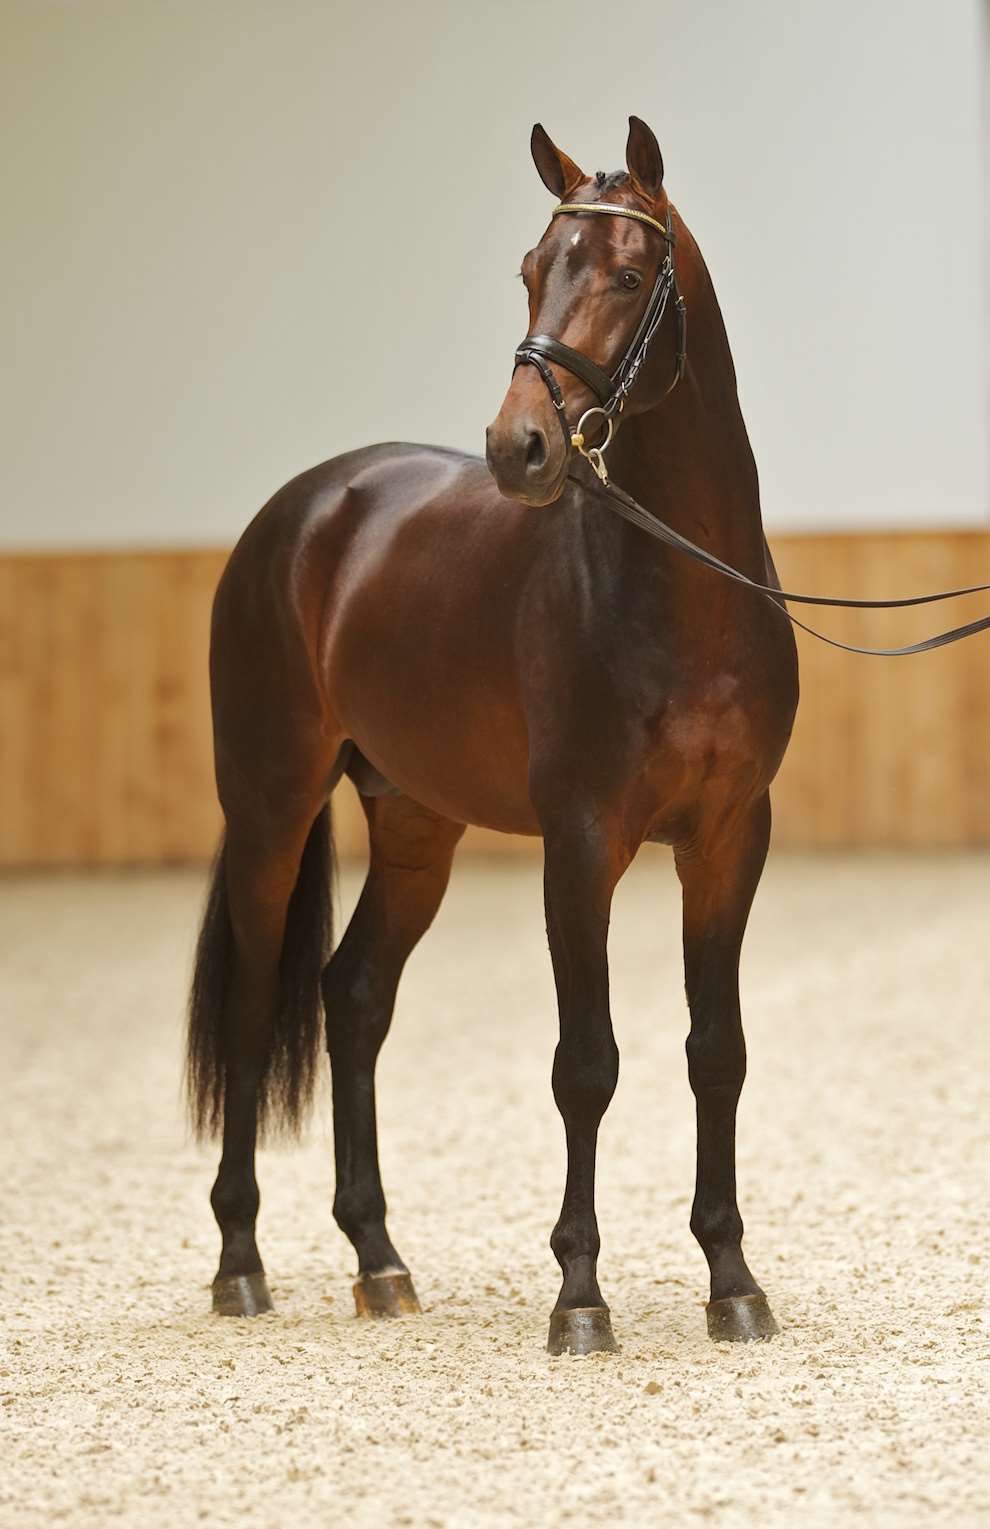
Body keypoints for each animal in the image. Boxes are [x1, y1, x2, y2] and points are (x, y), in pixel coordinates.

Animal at [186, 115, 799, 1356]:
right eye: (531, 269)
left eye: (627, 274)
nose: (520, 446)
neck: (686, 591)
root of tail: (308, 508)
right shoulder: (583, 842)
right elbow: (587, 1063)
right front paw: (580, 1294)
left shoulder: (729, 839)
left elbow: (717, 1051)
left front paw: (732, 1279)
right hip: (272, 807)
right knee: (254, 1002)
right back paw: (241, 1262)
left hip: (418, 823)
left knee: (352, 996)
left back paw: (379, 1259)